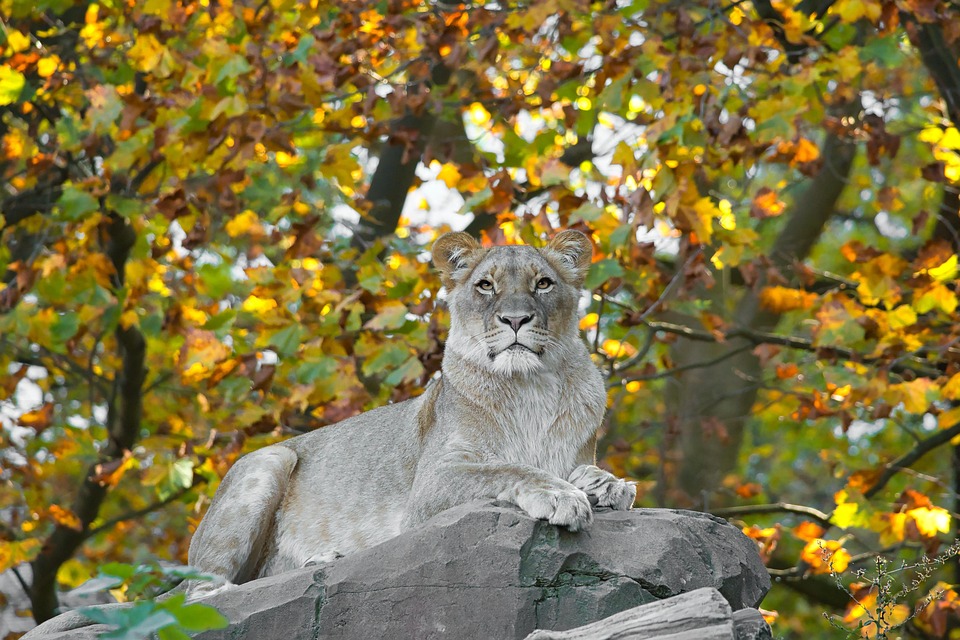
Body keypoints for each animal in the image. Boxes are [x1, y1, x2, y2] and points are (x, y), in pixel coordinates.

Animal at [24, 230, 635, 636]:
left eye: (543, 284)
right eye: (485, 286)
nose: (514, 320)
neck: (532, 386)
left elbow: (586, 468)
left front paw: (609, 486)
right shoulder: (431, 488)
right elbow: (510, 468)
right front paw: (561, 496)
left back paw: (323, 562)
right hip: (266, 464)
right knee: (202, 594)